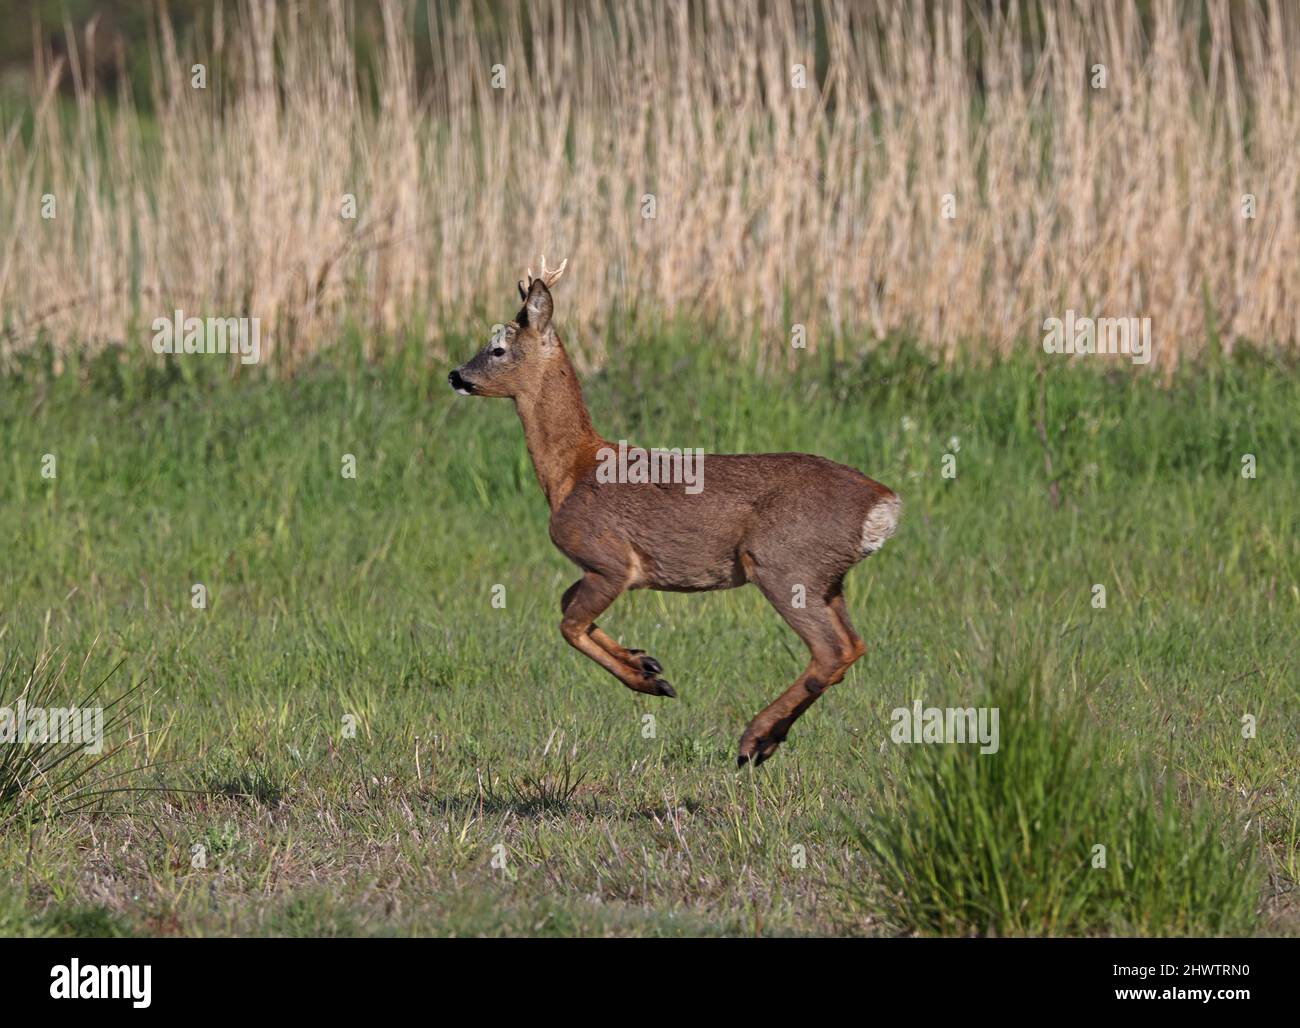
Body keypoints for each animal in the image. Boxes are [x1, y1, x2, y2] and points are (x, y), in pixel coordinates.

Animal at [448, 257, 900, 766]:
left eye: (498, 348)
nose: (455, 375)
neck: (571, 471)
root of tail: (882, 504)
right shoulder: (598, 568)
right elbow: (567, 606)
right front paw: (645, 659)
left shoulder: (610, 559)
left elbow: (569, 623)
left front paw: (651, 681)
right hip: (829, 580)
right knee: (854, 644)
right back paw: (768, 738)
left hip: (785, 565)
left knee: (830, 651)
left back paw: (753, 740)